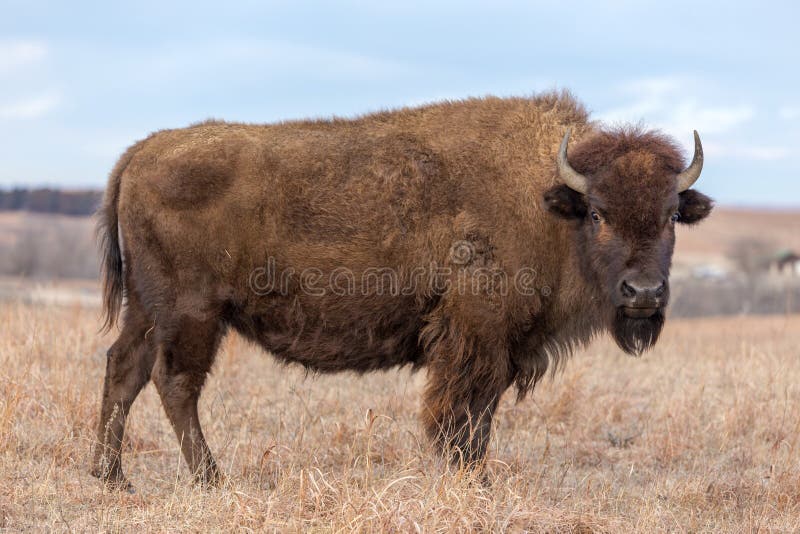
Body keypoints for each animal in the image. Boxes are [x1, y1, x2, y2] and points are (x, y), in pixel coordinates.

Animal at [91, 92, 712, 489]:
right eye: (599, 214)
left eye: (670, 216)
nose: (643, 292)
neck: (549, 201)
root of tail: (141, 152)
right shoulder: (476, 337)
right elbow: (463, 415)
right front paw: (472, 482)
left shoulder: (499, 347)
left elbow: (480, 415)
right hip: (192, 313)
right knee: (174, 383)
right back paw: (210, 479)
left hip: (146, 309)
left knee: (124, 369)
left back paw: (111, 477)